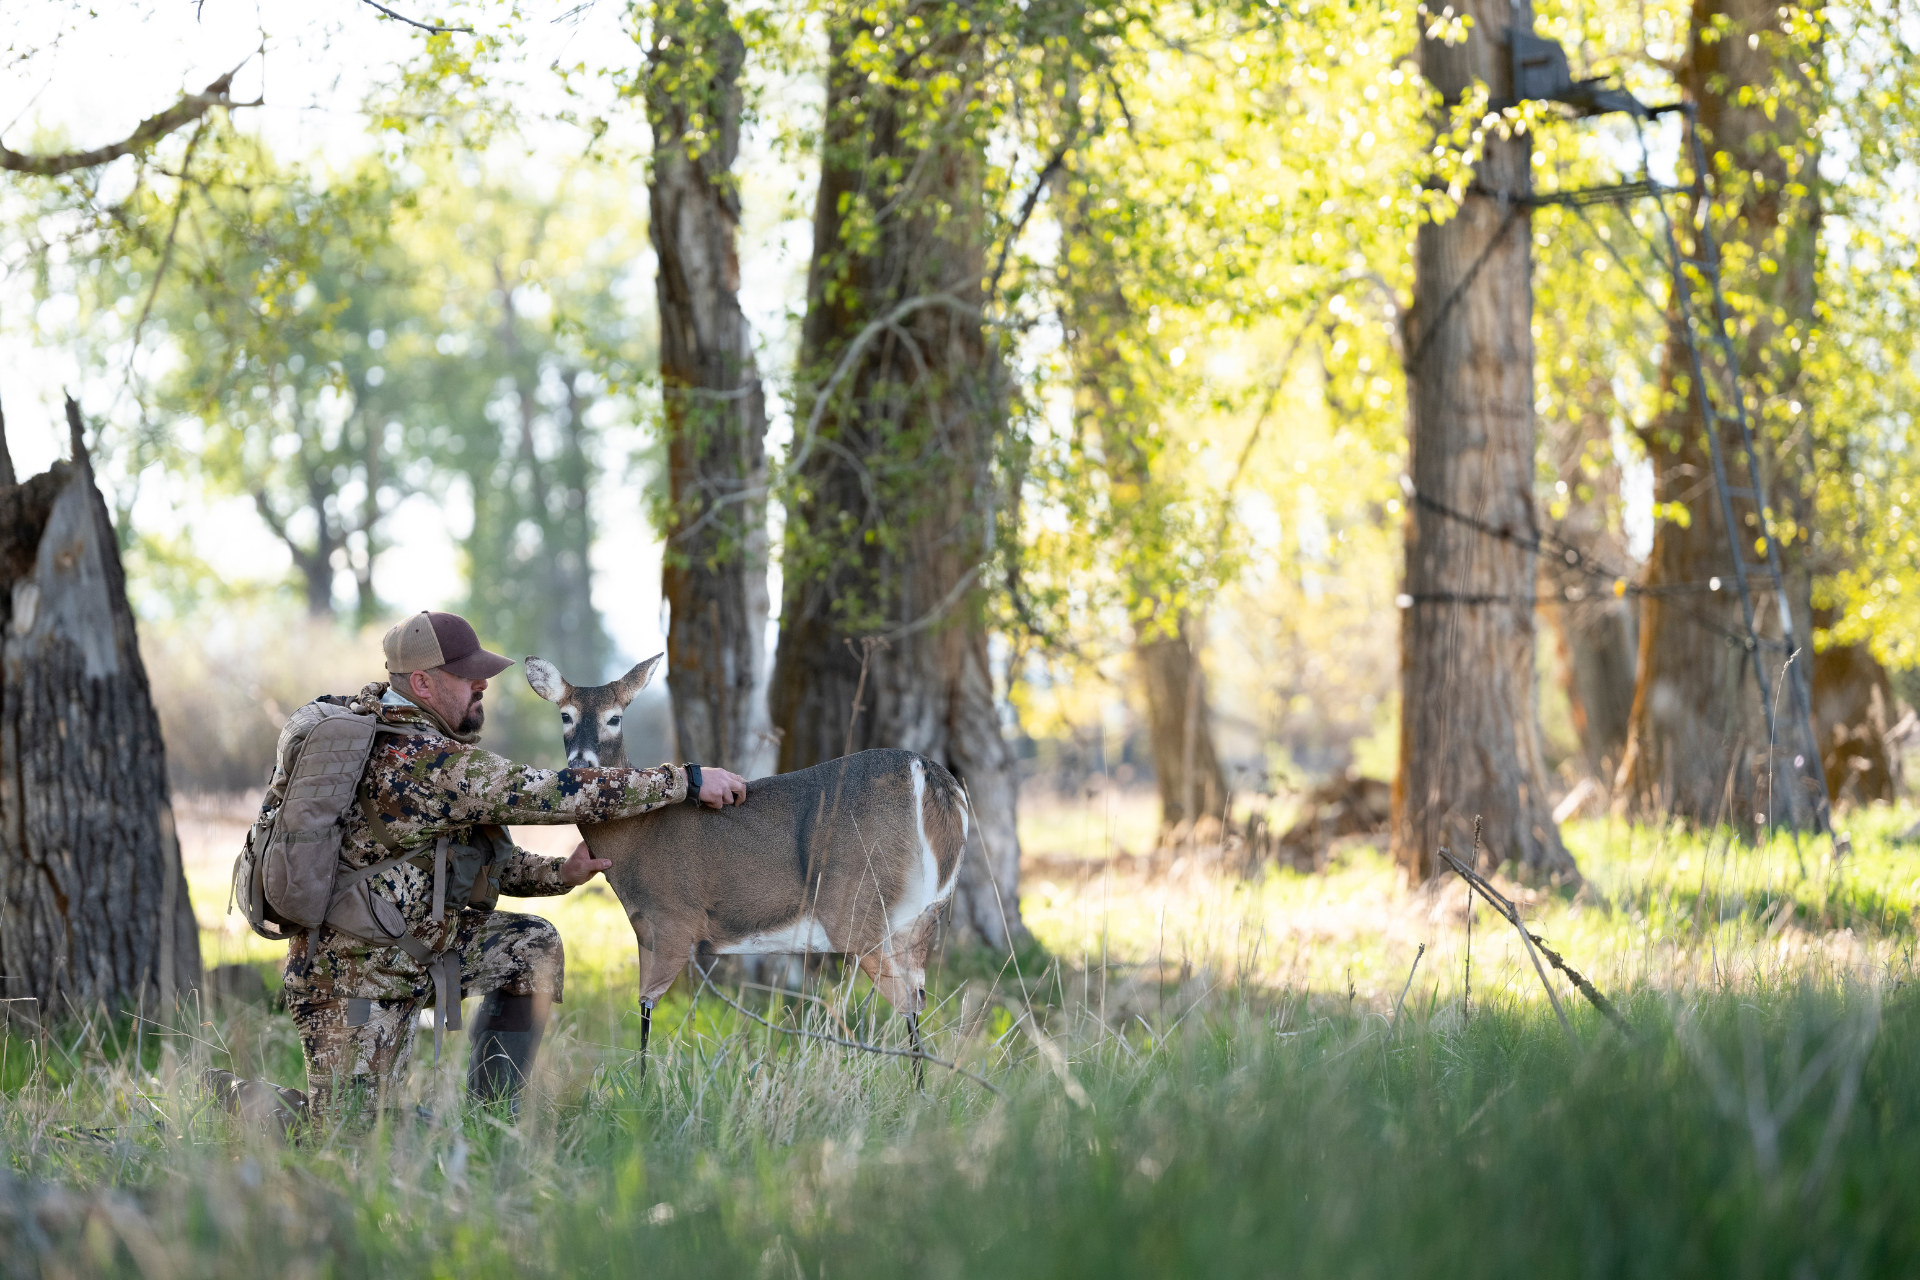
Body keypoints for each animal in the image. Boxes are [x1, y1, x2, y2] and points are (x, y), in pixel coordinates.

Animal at [523, 654, 967, 1076]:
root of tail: (929, 773)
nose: (581, 763)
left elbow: (646, 1011)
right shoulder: (646, 928)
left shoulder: (671, 917)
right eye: (565, 714)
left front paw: (642, 1091)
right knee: (918, 999)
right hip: (920, 916)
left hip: (859, 905)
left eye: (614, 717)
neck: (639, 835)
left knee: (906, 1002)